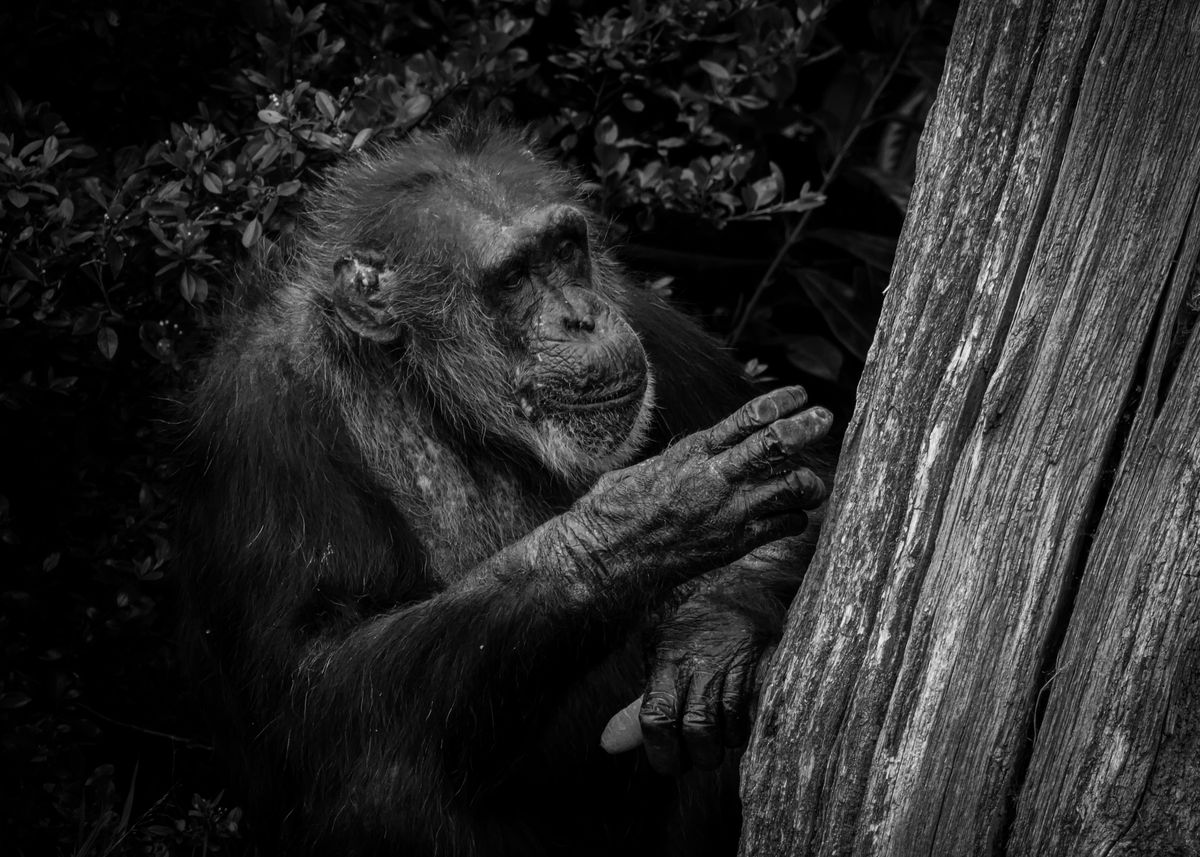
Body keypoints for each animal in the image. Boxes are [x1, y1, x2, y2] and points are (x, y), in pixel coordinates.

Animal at [177, 116, 831, 857]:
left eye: (565, 251)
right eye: (515, 278)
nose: (581, 316)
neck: (435, 391)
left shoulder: (647, 316)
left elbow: (815, 496)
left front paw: (711, 631)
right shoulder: (259, 419)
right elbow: (315, 690)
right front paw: (652, 514)